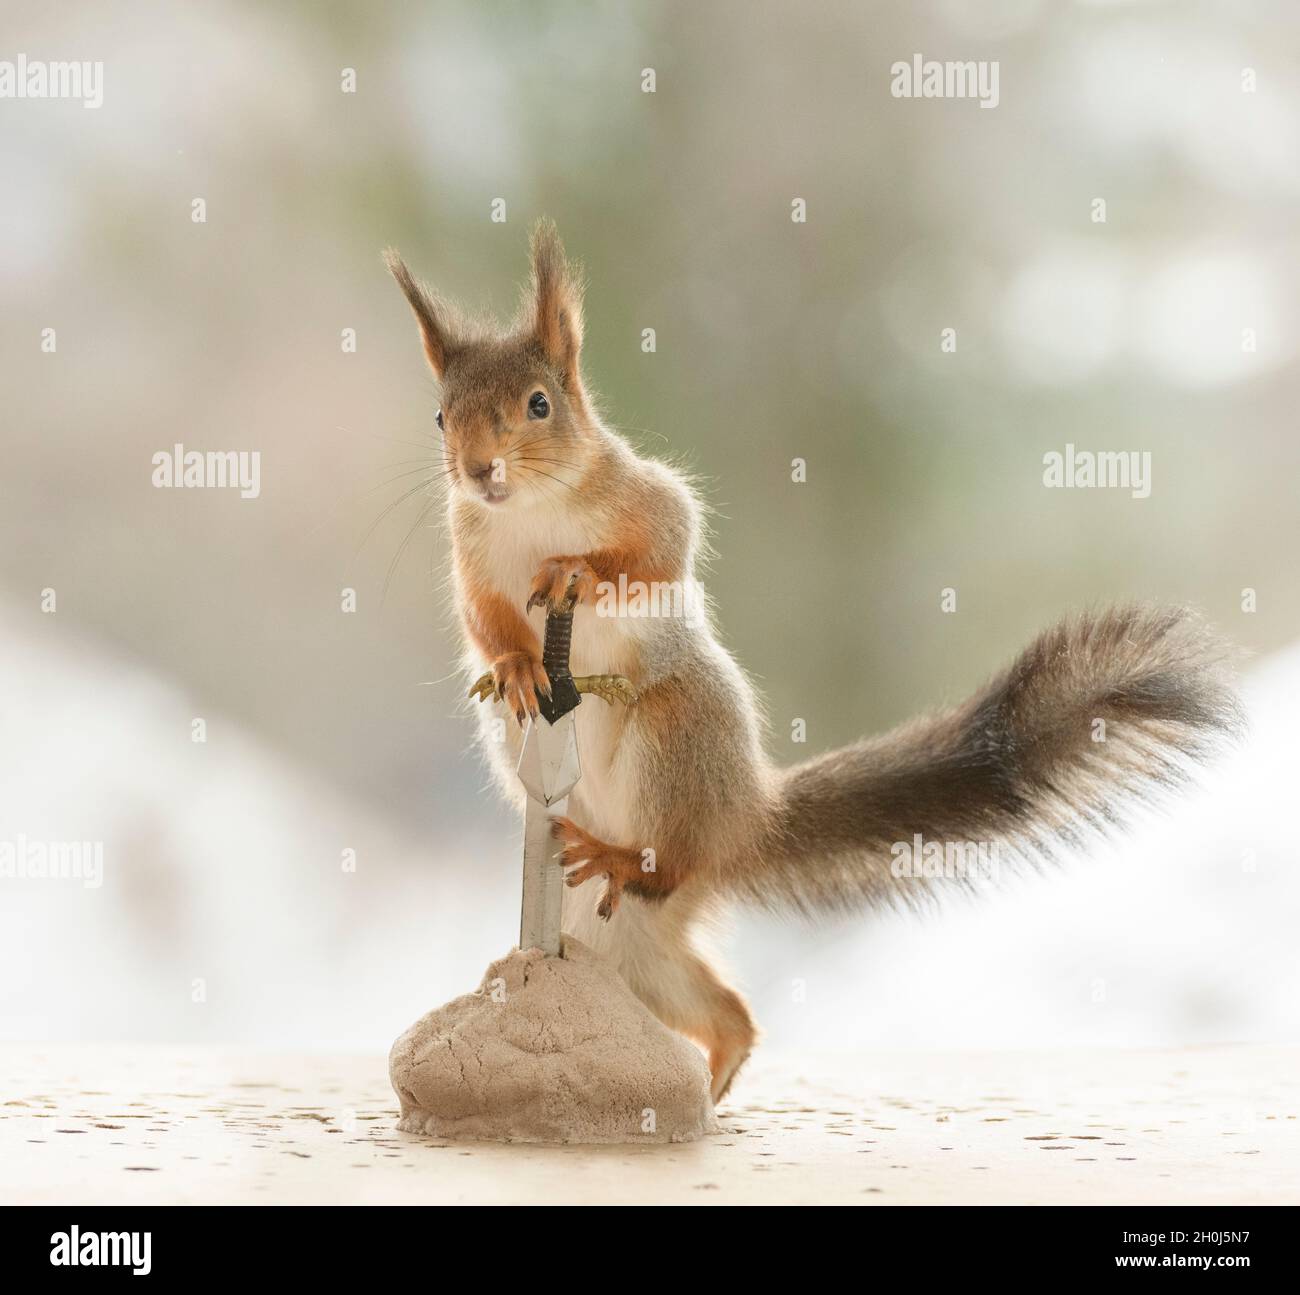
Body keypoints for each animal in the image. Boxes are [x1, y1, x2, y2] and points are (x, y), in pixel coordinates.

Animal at [386, 220, 1242, 1103]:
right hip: (612, 932)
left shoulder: (643, 498)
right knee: (712, 998)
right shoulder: (470, 554)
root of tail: (747, 818)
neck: (527, 513)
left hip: (679, 735)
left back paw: (643, 881)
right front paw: (518, 666)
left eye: (540, 404)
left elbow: (658, 548)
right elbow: (484, 617)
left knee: (669, 862)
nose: (480, 471)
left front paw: (577, 572)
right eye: (441, 415)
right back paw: (714, 1069)